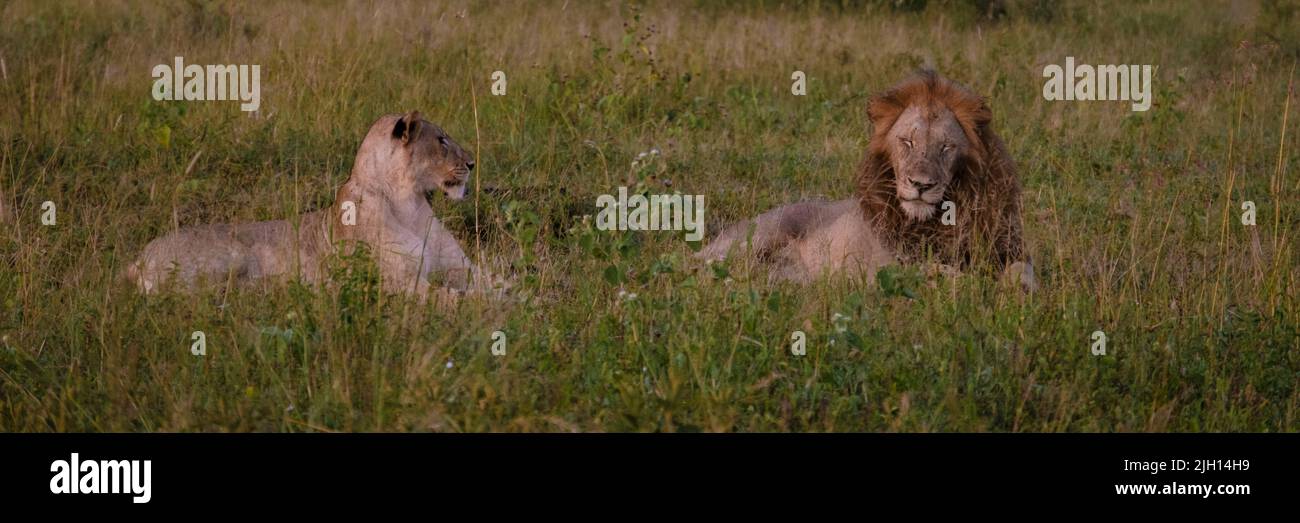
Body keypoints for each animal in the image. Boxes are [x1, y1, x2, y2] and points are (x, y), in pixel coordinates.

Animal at [126, 111, 489, 298]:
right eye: (441, 141)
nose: (472, 163)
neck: (410, 203)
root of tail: (137, 259)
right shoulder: (400, 284)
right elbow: (455, 300)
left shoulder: (462, 269)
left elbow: (494, 281)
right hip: (230, 256)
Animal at [698, 71, 1035, 289]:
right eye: (907, 142)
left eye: (946, 147)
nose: (921, 185)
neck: (938, 220)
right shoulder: (885, 265)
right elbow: (931, 271)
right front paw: (968, 283)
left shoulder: (1010, 247)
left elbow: (1024, 272)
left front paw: (1015, 291)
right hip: (757, 237)